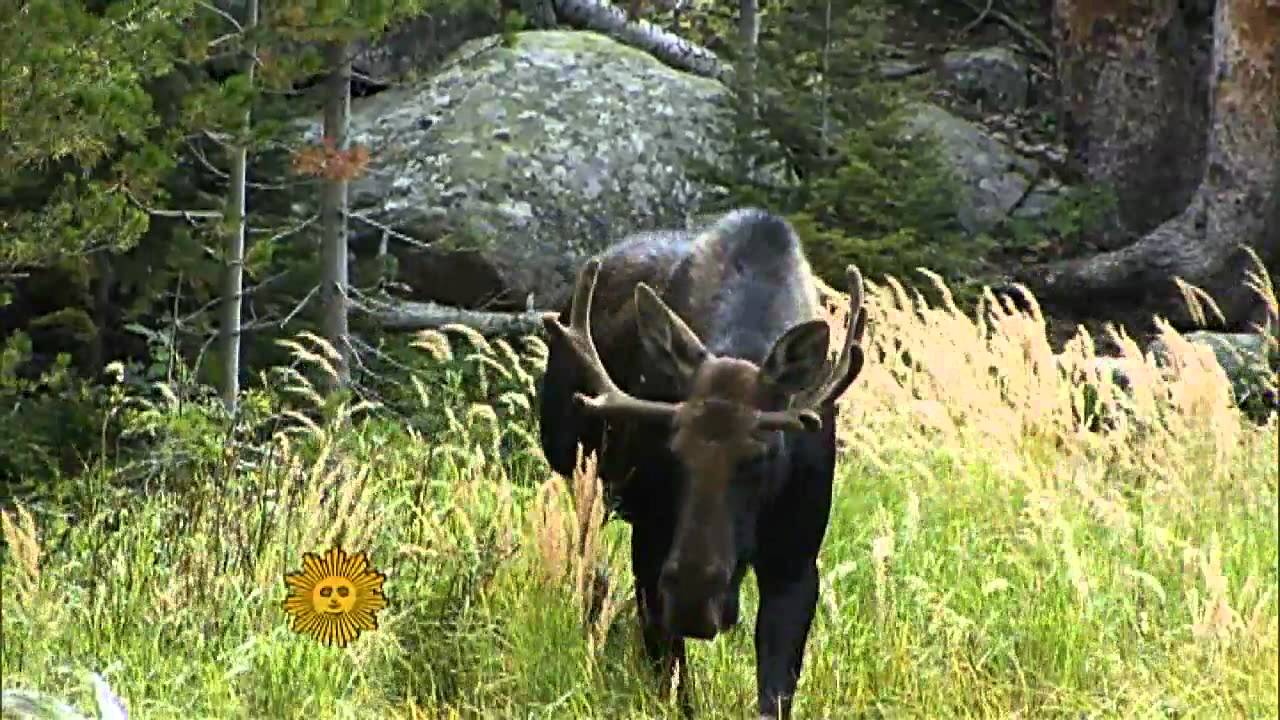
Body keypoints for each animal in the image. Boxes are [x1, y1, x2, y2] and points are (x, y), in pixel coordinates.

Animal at [537, 207, 867, 719]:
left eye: (764, 456)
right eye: (670, 449)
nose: (695, 598)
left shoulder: (797, 558)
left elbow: (775, 691)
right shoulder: (650, 540)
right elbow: (672, 679)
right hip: (577, 474)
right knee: (589, 571)